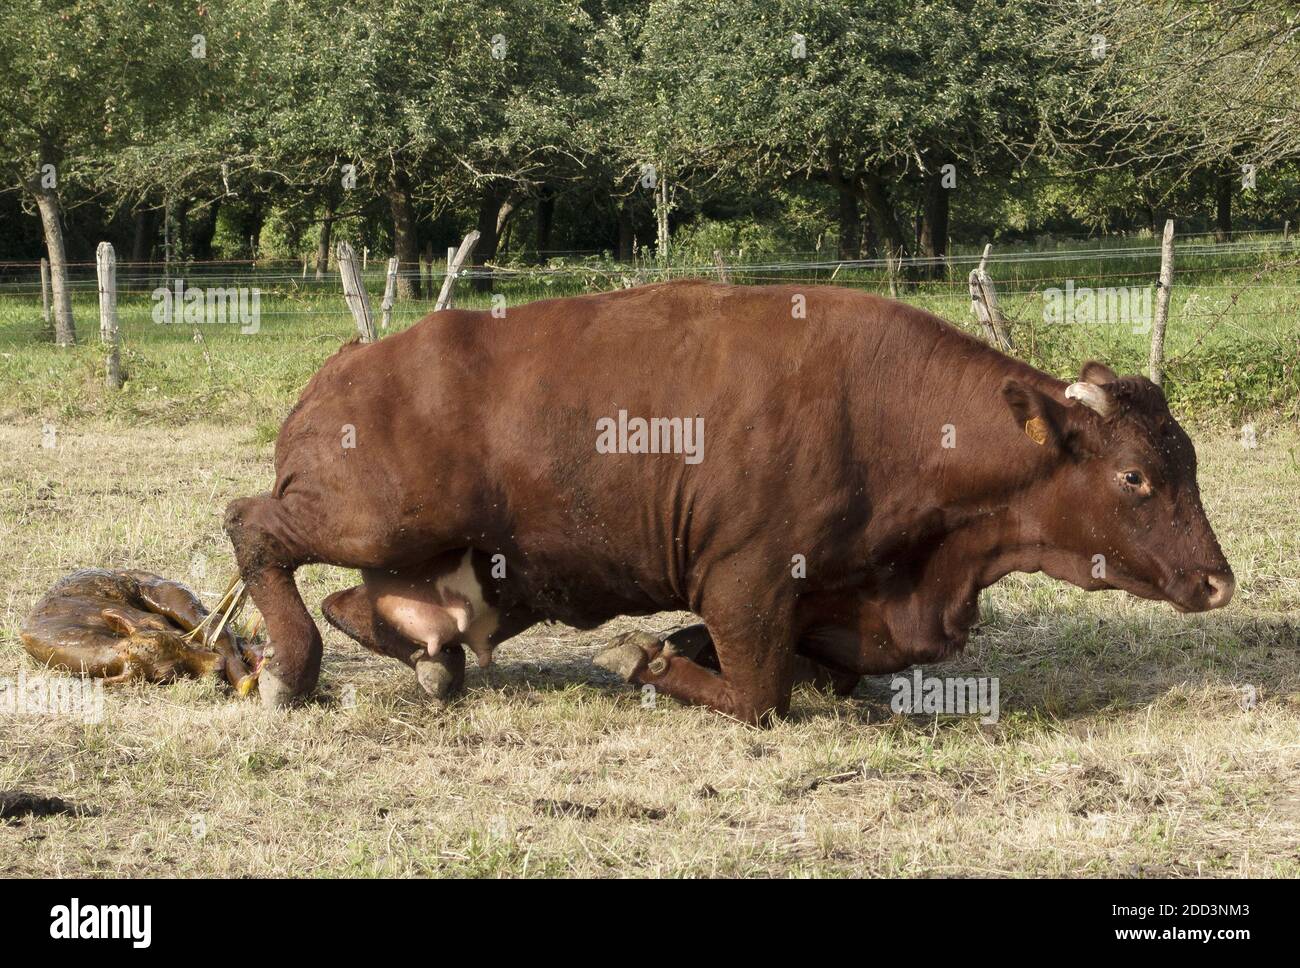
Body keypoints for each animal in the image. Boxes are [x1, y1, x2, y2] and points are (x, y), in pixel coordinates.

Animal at [224, 280, 1234, 723]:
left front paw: (675, 646)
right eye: (1135, 477)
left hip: (430, 564)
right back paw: (289, 670)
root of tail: (352, 361)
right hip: (375, 516)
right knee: (255, 528)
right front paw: (648, 656)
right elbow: (759, 694)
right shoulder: (747, 578)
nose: (1220, 582)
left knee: (363, 603)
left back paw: (429, 664)